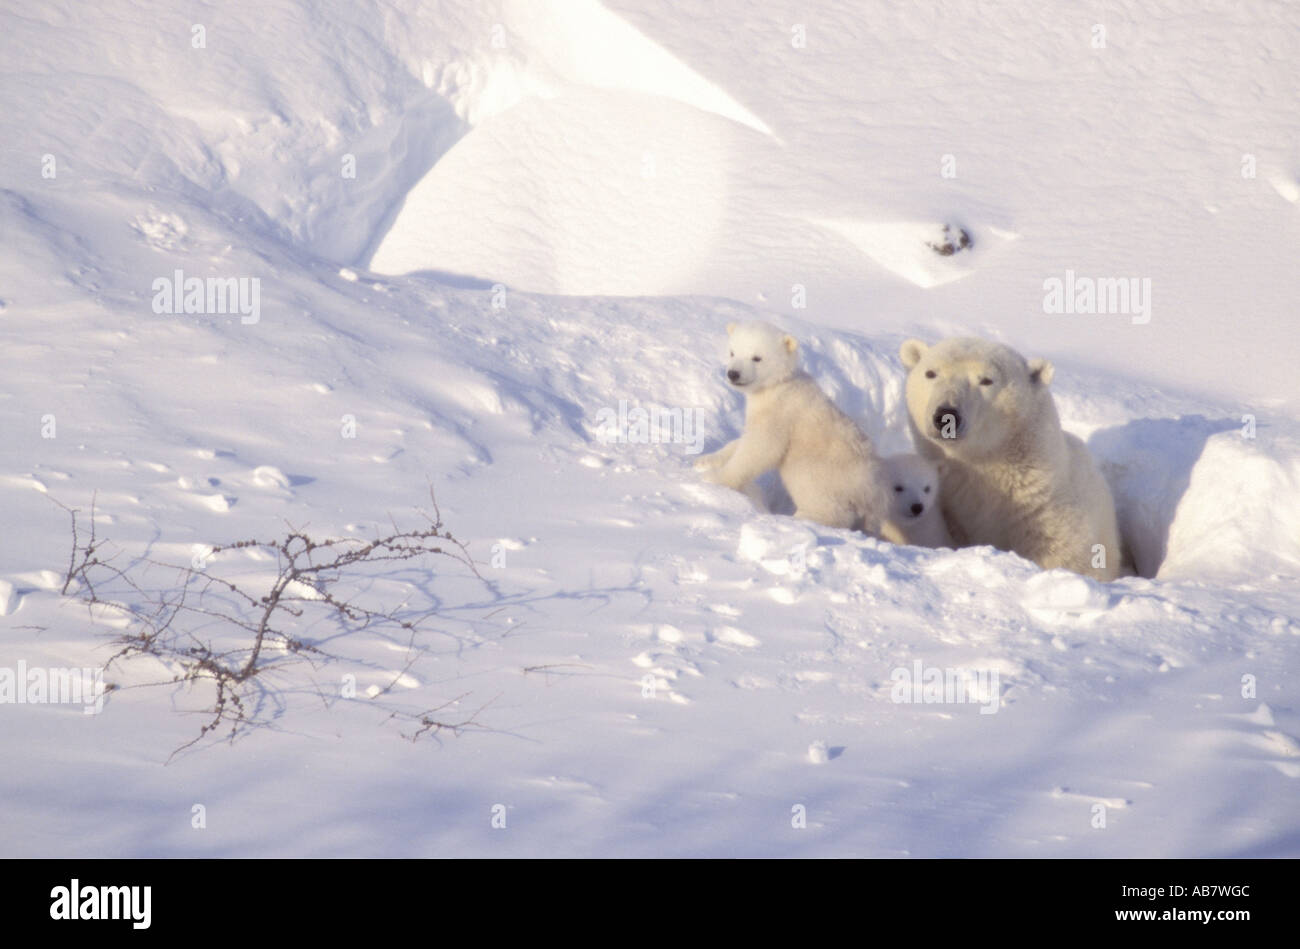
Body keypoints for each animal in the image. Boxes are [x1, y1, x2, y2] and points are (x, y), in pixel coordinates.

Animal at [695, 321, 888, 533]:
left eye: (756, 358)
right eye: (732, 352)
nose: (733, 373)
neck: (778, 384)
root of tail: (872, 490)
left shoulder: (780, 412)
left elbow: (761, 449)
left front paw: (715, 479)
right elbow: (742, 442)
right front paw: (705, 460)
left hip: (826, 471)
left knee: (822, 499)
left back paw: (800, 518)